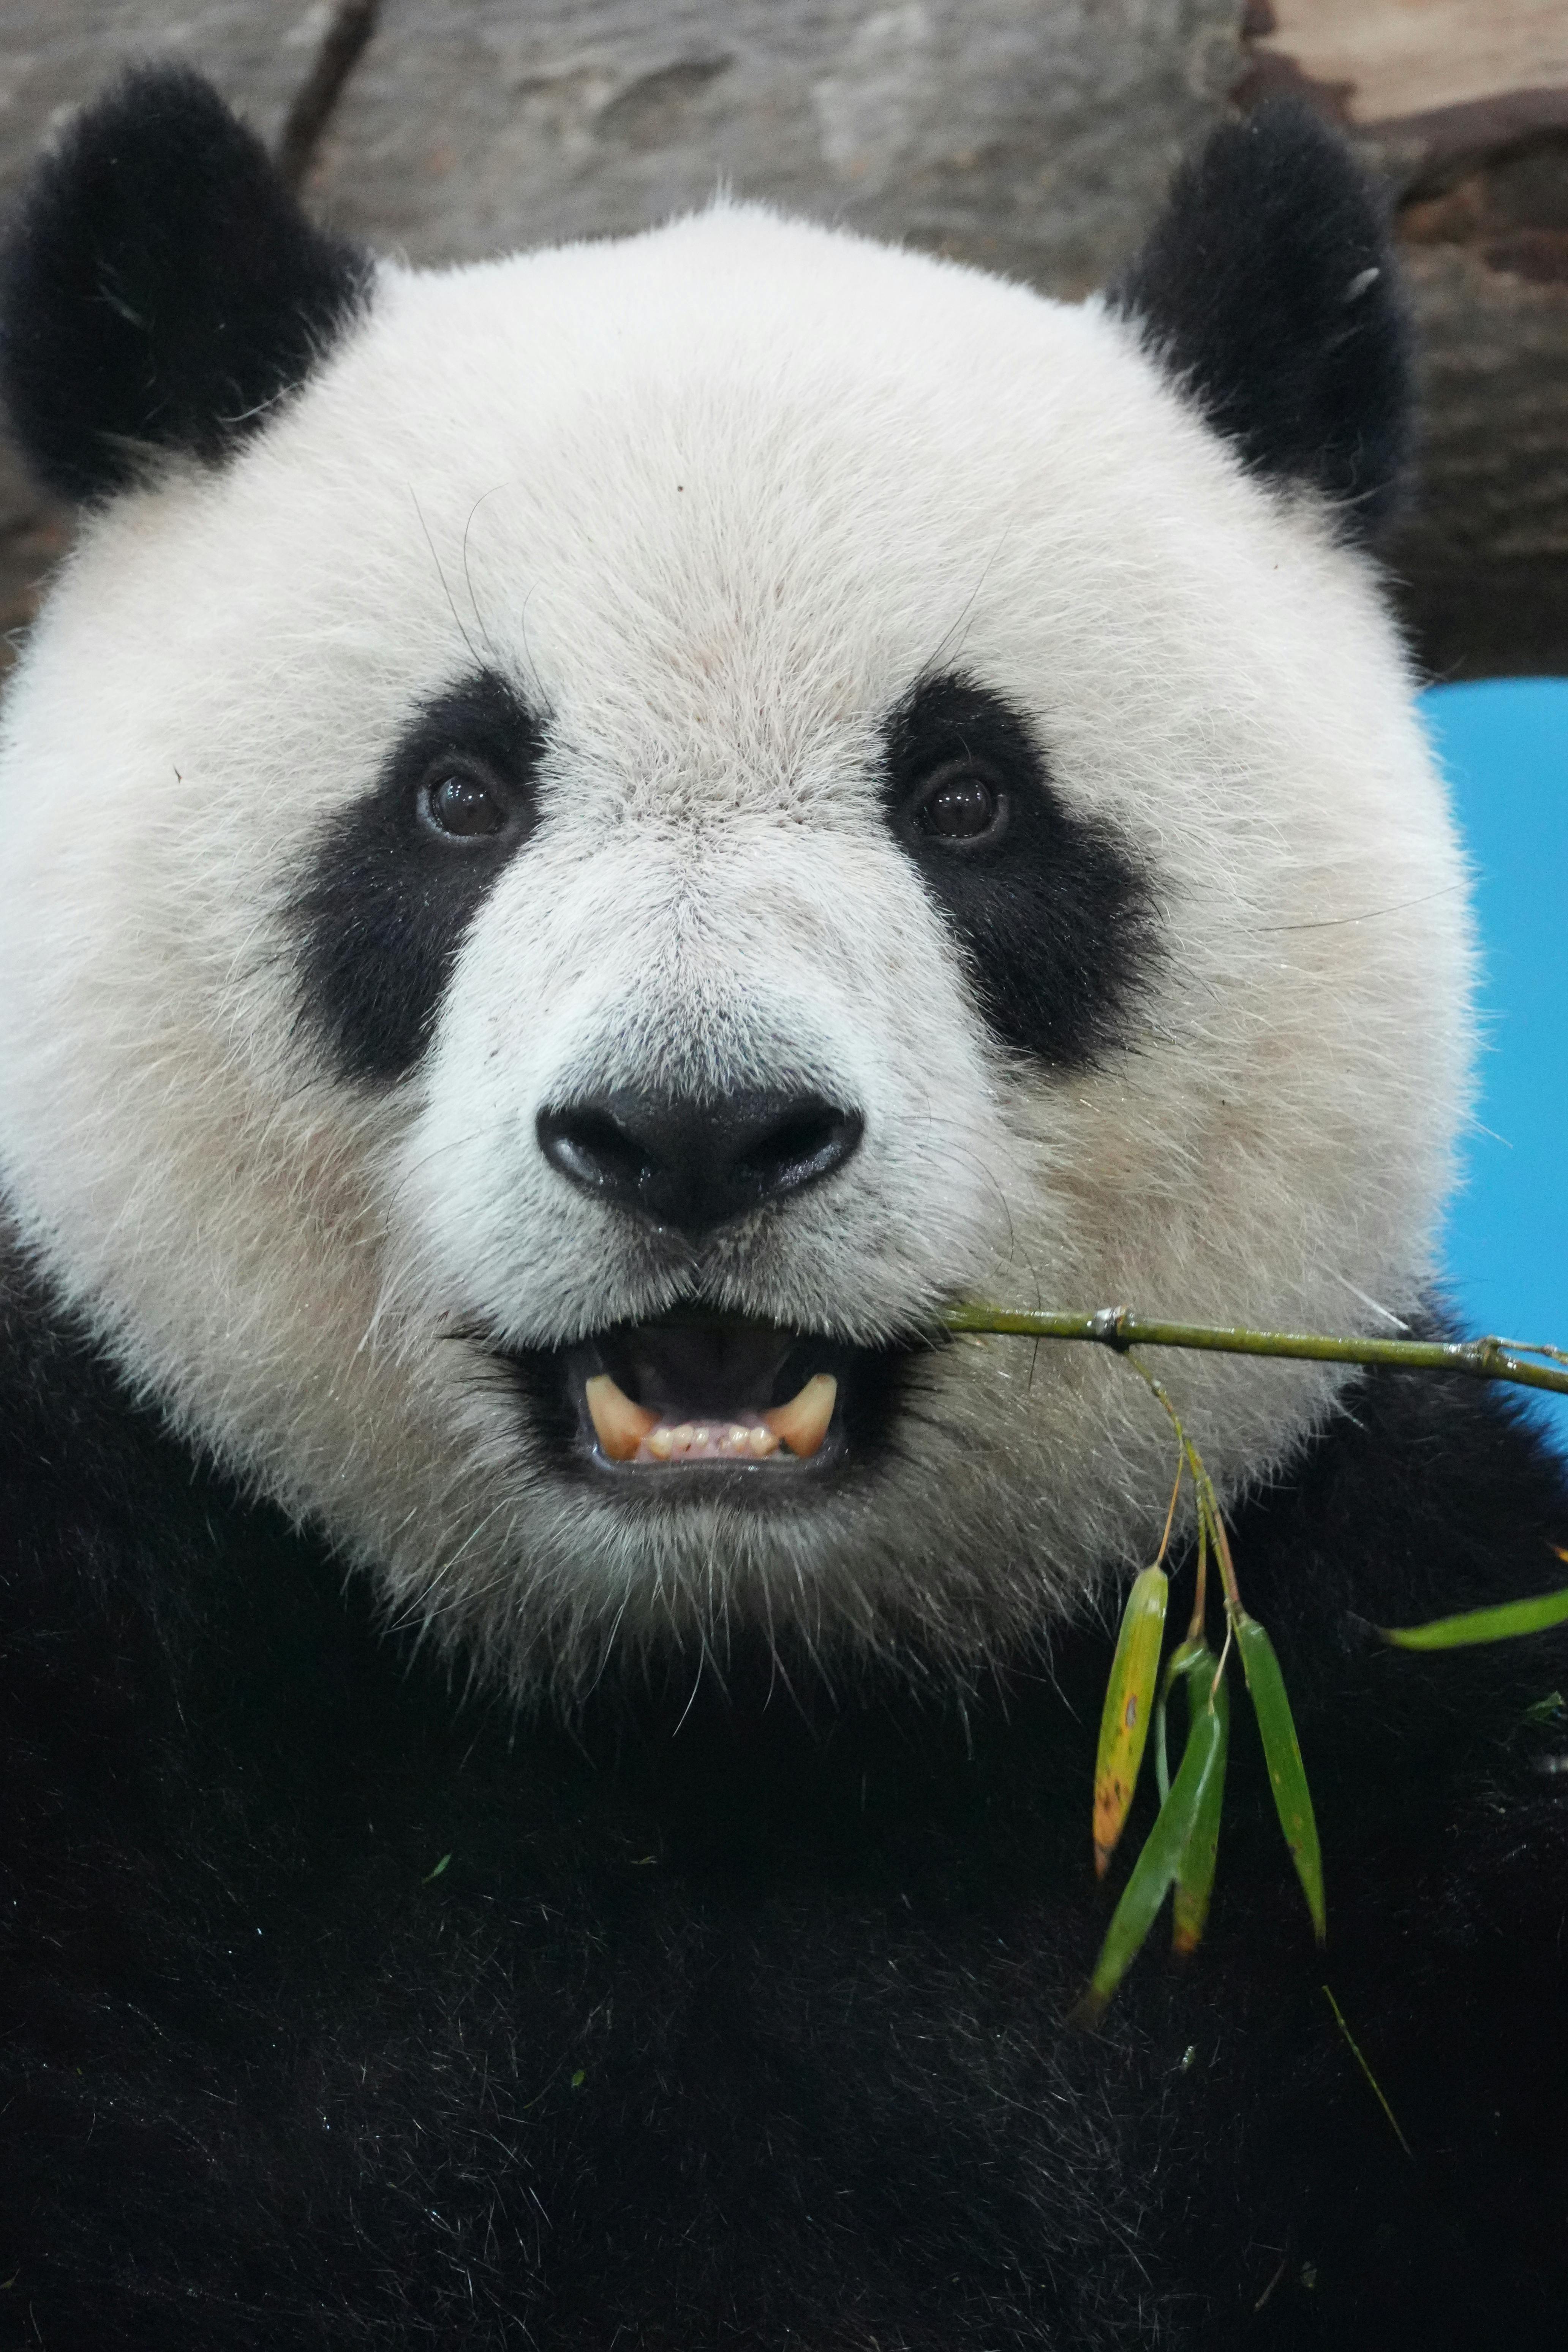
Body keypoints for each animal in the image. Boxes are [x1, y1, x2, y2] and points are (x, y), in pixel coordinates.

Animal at [0, 59, 1565, 2350]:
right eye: (456, 795)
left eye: (970, 799)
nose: (695, 1133)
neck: (717, 1712)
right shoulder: (119, 1669)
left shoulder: (1357, 1743)